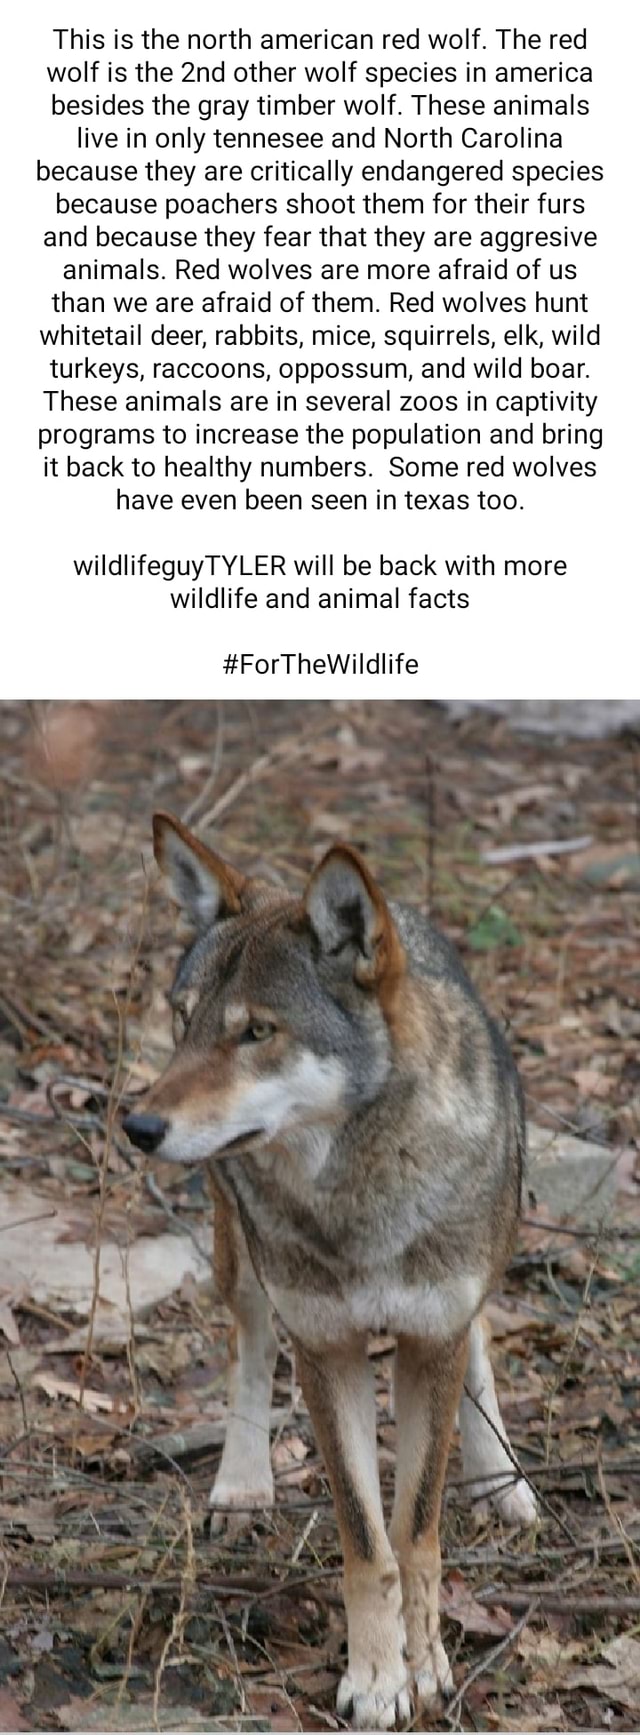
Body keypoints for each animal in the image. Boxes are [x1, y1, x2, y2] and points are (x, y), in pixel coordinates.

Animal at [123, 812, 536, 1730]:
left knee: (482, 1340)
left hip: (488, 1249)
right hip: (239, 1247)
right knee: (248, 1347)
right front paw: (377, 1677)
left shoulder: (429, 1337)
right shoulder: (329, 1350)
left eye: (256, 1031)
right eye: (183, 1019)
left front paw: (426, 1666)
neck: (359, 1198)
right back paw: (243, 1484)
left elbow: (415, 1532)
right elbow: (366, 1540)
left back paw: (502, 1478)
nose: (138, 1125)